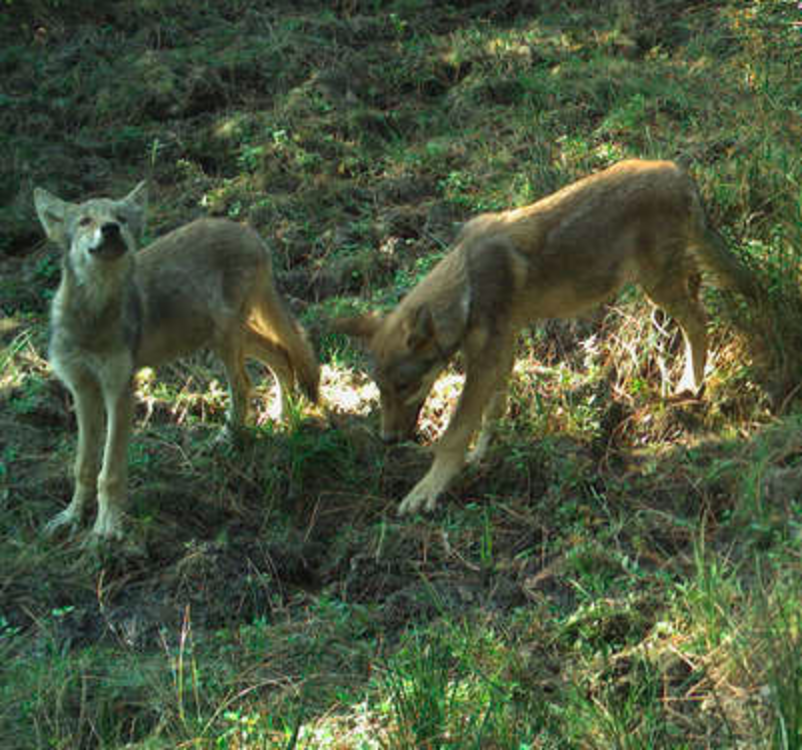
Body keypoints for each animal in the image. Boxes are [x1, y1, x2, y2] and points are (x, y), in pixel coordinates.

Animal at [33, 182, 320, 540]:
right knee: (280, 355)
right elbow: (83, 467)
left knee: (245, 384)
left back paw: (229, 439)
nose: (110, 229)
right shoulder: (82, 392)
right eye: (85, 220)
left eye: (121, 219)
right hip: (225, 337)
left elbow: (108, 473)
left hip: (226, 341)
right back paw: (284, 418)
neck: (93, 319)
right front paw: (71, 518)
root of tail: (249, 231)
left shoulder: (120, 393)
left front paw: (106, 530)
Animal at [335, 159, 758, 516]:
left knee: (699, 321)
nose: (388, 440)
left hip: (656, 285)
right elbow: (492, 412)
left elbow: (454, 432)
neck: (467, 286)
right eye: (381, 388)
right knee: (700, 287)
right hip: (663, 279)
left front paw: (426, 490)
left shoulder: (485, 361)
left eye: (405, 386)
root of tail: (679, 172)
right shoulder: (502, 349)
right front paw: (479, 456)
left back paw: (690, 386)